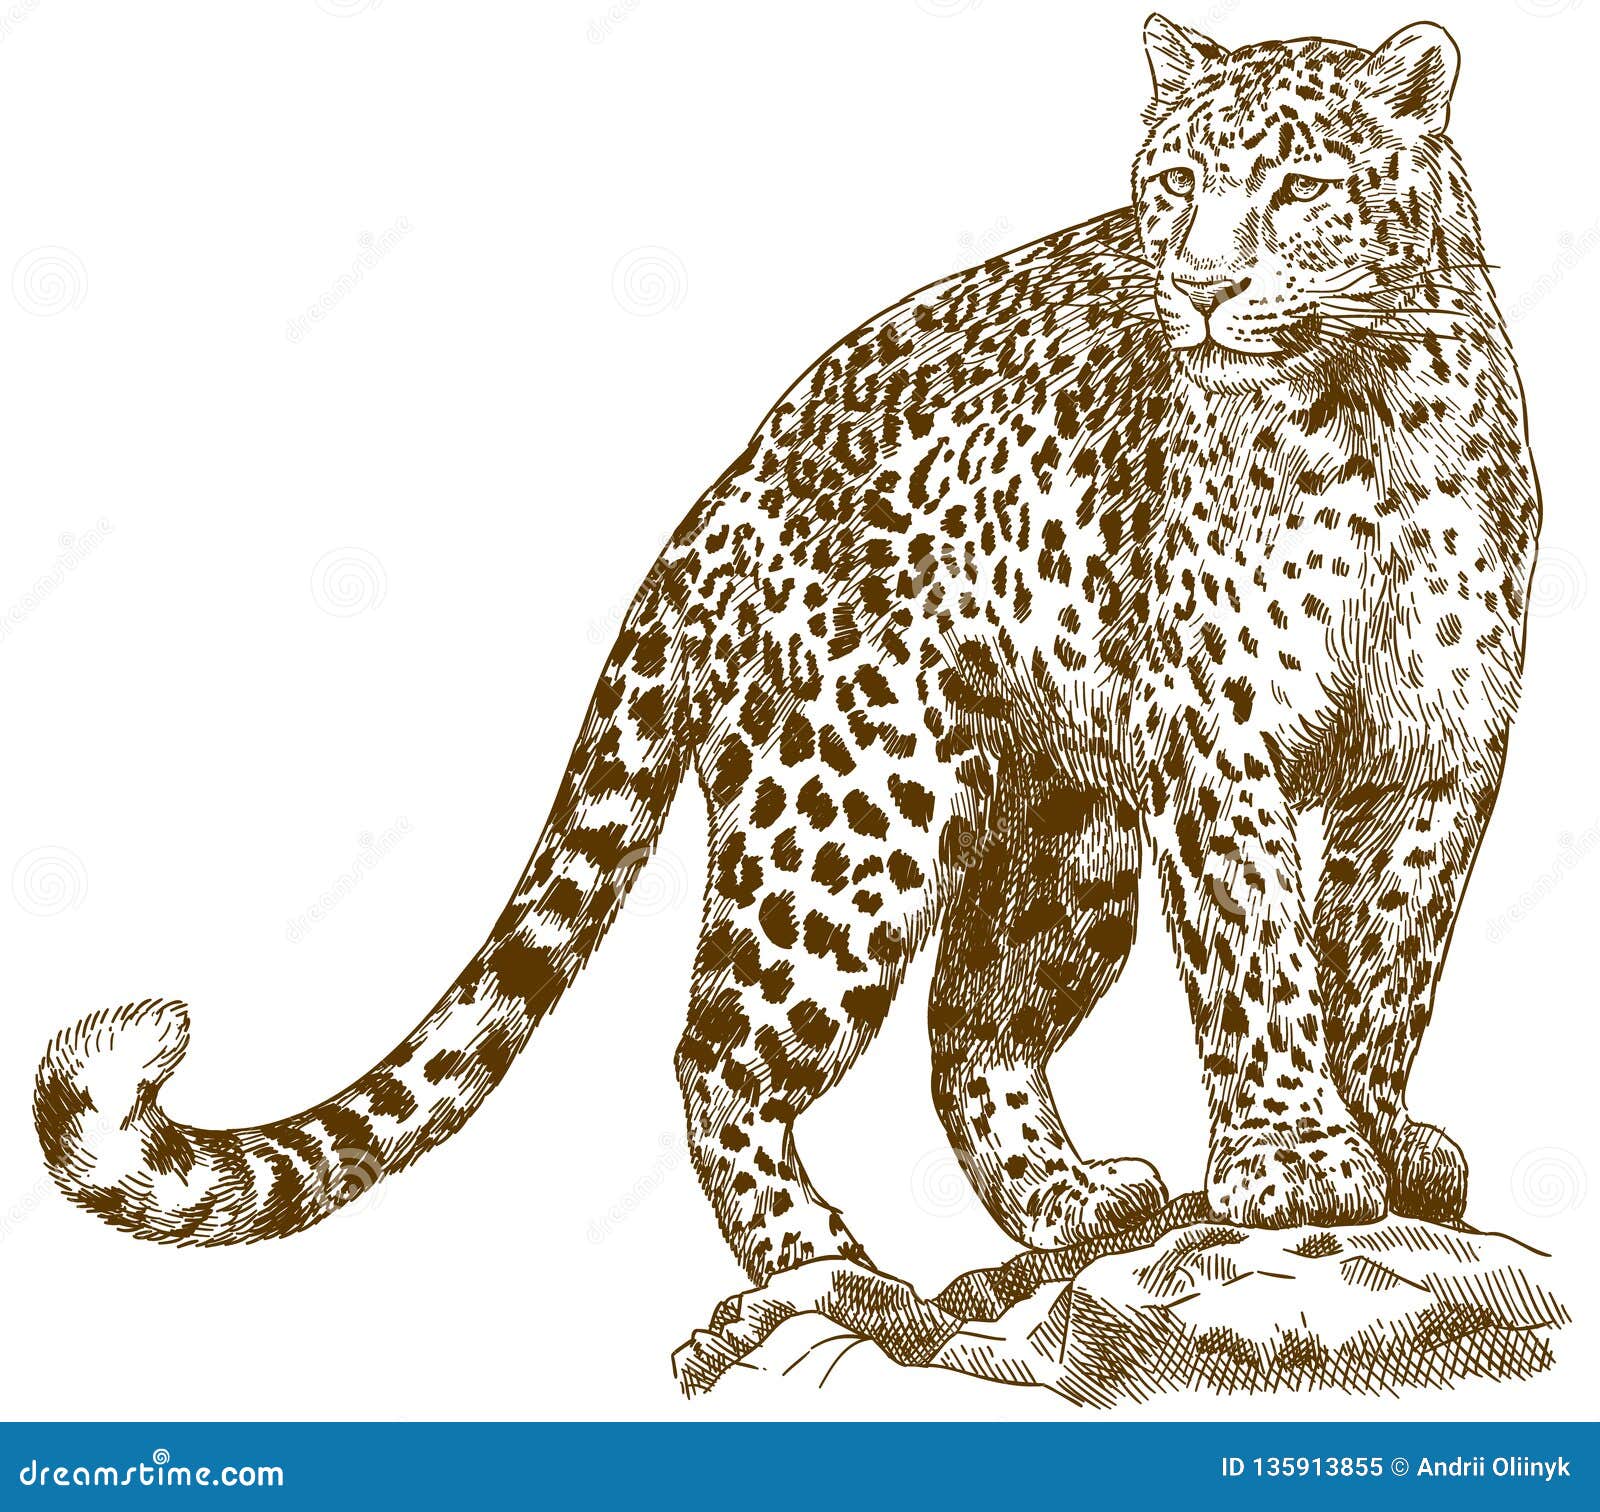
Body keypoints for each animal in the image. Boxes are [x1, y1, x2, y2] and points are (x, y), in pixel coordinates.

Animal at [36, 16, 1540, 1378]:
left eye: (1299, 188)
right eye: (1172, 185)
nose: (1203, 287)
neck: (1364, 421)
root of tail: (725, 493)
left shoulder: (1439, 755)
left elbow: (1383, 960)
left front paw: (1377, 1139)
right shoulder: (1217, 748)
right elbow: (1261, 954)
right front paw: (1294, 1157)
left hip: (1062, 831)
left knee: (970, 1023)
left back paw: (1068, 1204)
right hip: (843, 824)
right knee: (720, 1055)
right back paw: (826, 1270)